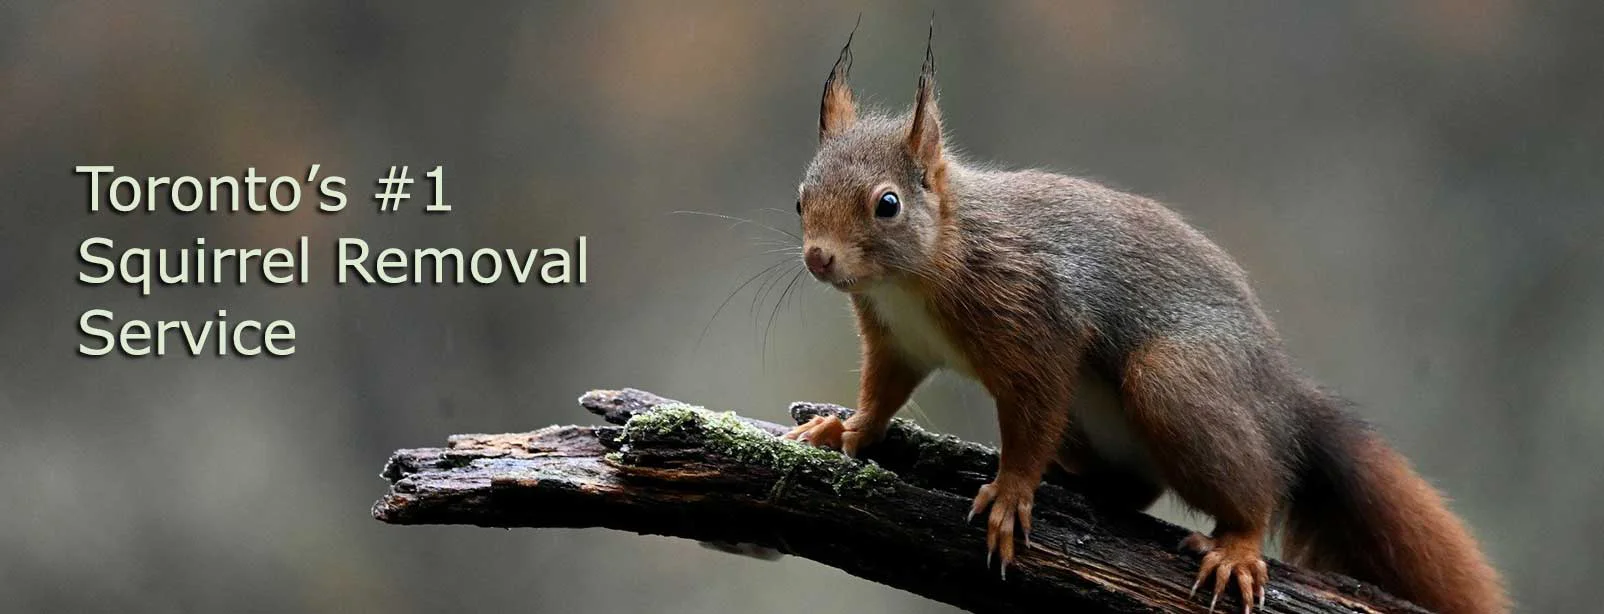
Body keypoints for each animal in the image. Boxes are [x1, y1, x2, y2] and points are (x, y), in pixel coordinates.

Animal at [782, 26, 1508, 614]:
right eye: (800, 197)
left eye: (888, 205)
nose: (819, 258)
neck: (917, 272)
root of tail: (1281, 401)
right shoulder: (896, 339)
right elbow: (883, 393)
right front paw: (843, 428)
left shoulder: (1037, 319)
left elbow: (1032, 415)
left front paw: (1012, 493)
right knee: (1133, 487)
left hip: (1175, 382)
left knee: (1257, 486)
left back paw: (1238, 544)